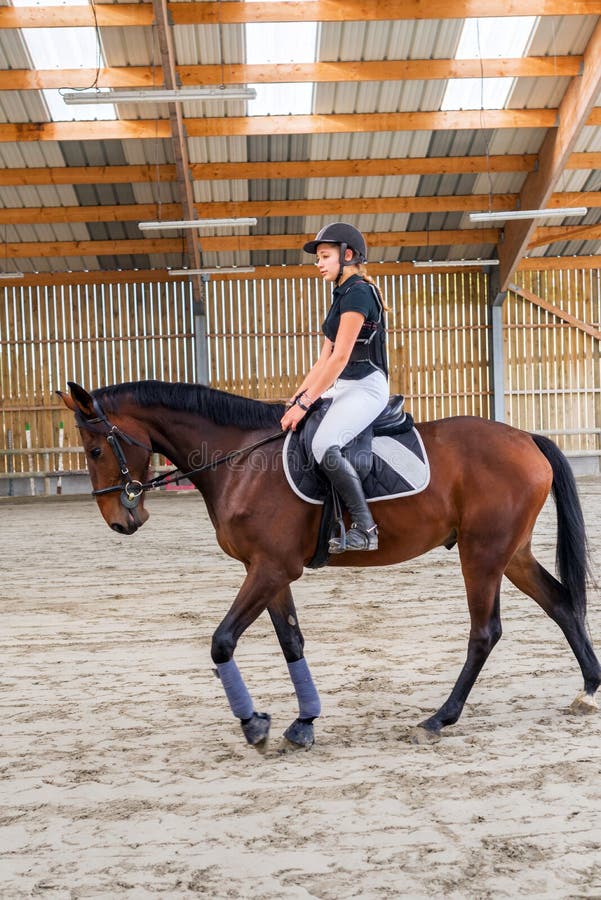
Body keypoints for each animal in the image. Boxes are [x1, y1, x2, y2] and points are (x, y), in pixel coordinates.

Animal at [59, 379, 601, 749]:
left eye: (95, 448)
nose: (121, 521)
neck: (240, 461)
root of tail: (526, 438)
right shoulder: (270, 571)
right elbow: (291, 640)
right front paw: (303, 722)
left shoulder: (270, 569)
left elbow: (222, 641)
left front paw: (254, 724)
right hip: (511, 553)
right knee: (560, 603)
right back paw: (590, 690)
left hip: (482, 553)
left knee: (485, 632)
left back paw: (439, 718)